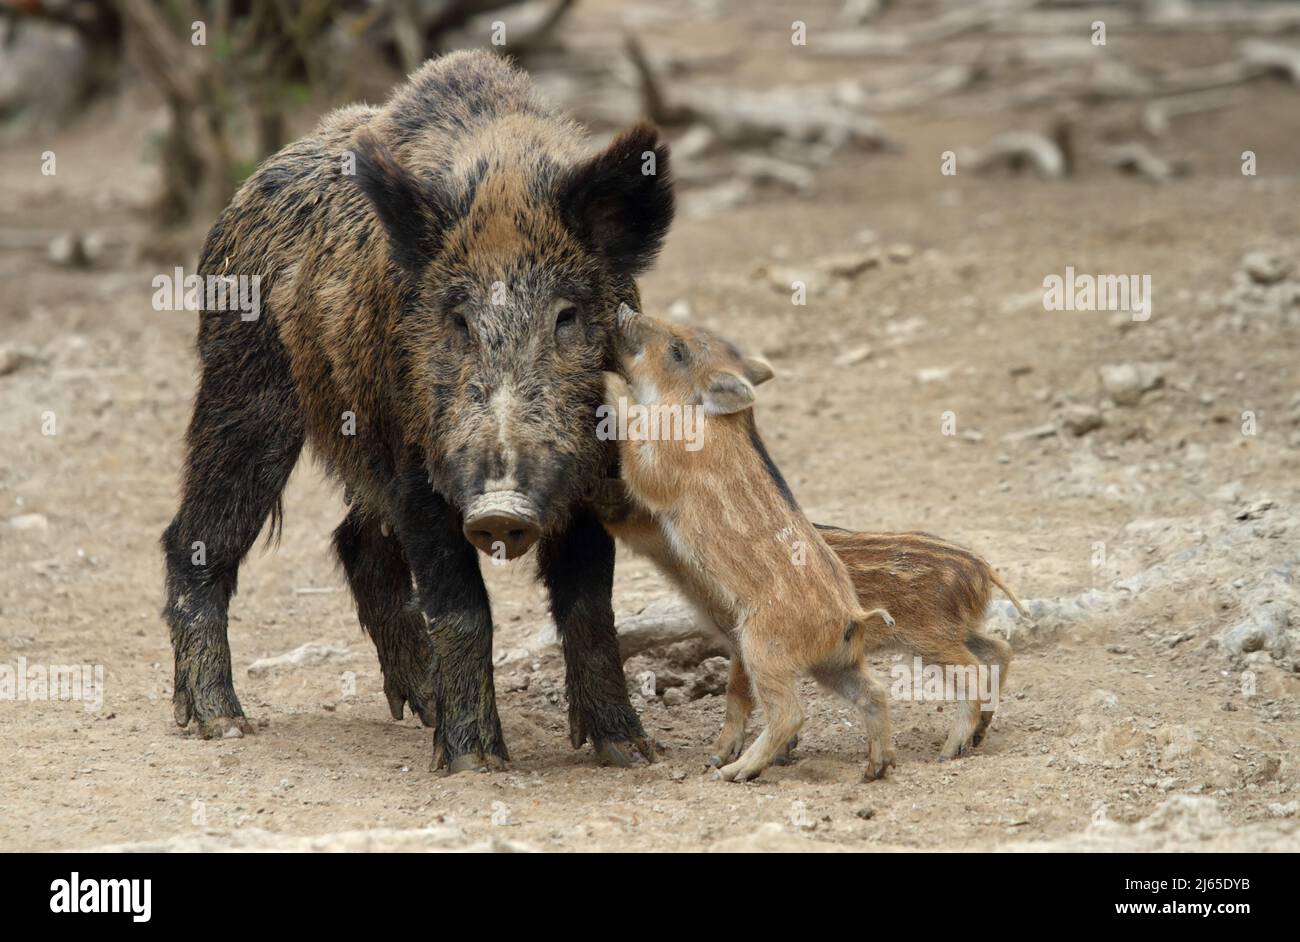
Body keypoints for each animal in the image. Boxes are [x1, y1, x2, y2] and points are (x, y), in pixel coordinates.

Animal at [161, 51, 673, 771]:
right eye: (455, 320)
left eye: (567, 316)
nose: (501, 509)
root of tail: (245, 191)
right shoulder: (418, 460)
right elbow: (462, 604)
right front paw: (474, 763)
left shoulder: (591, 463)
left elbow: (590, 604)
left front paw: (631, 751)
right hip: (244, 383)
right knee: (195, 535)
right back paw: (223, 723)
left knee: (354, 540)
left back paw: (418, 703)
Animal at [599, 307, 896, 782]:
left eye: (678, 350)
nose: (625, 312)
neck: (697, 411)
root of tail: (853, 615)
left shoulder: (659, 467)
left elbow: (635, 449)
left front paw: (609, 384)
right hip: (836, 662)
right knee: (876, 691)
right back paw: (875, 767)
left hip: (762, 648)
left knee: (790, 712)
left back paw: (735, 771)